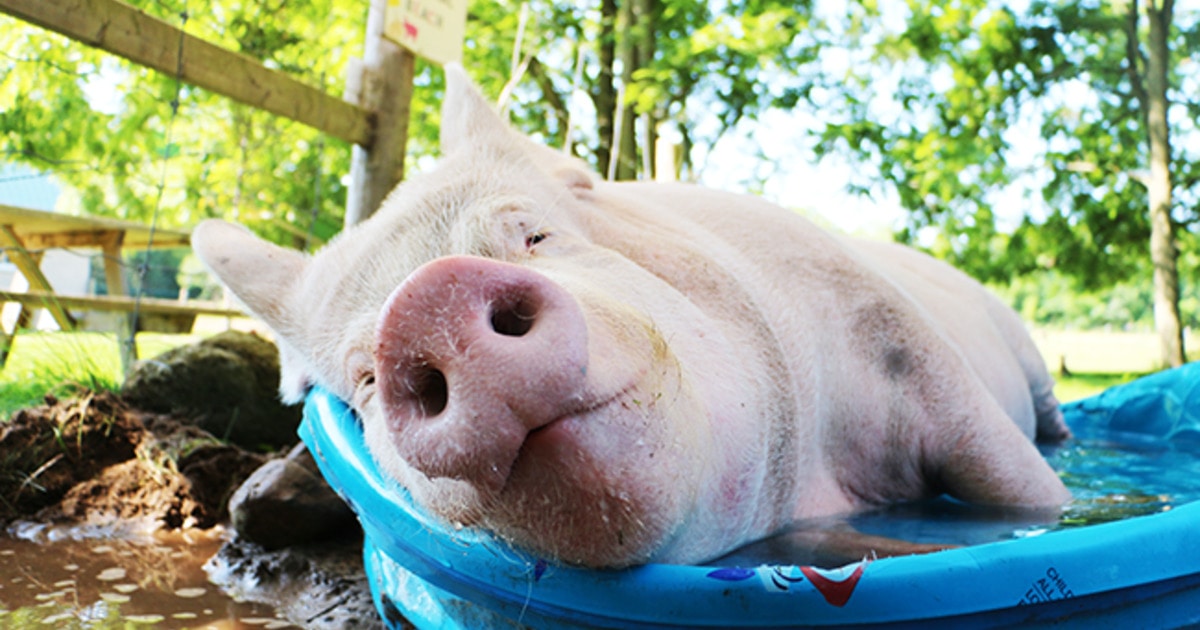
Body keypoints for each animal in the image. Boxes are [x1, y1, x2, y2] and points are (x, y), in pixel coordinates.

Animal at [192, 64, 1070, 569]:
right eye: (365, 380)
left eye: (534, 234)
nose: (427, 299)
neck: (810, 488)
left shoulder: (908, 347)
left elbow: (1024, 494)